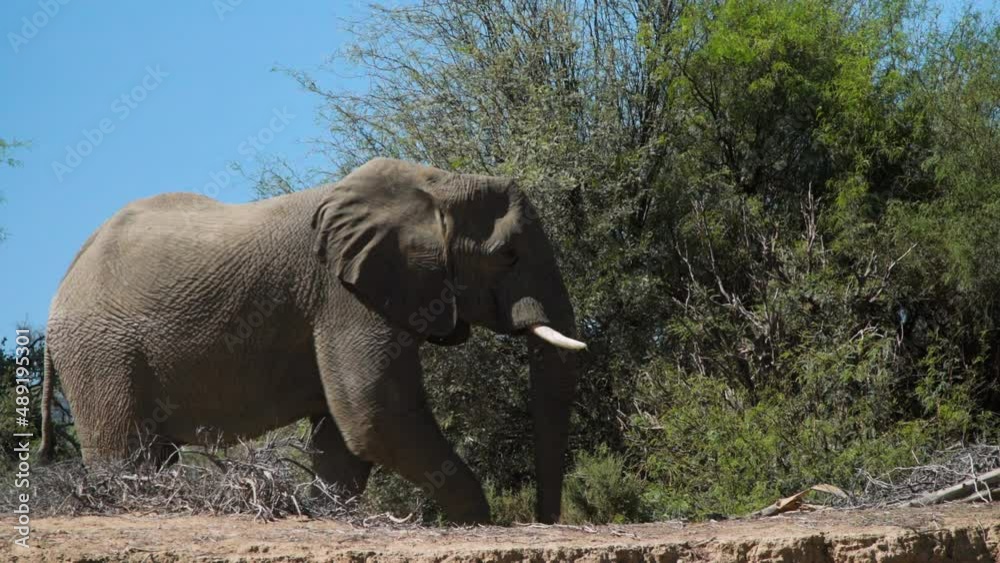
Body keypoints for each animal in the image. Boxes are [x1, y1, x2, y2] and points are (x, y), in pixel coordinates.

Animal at [38, 158, 585, 524]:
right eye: (508, 255)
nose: (542, 519)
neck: (434, 185)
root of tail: (65, 277)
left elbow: (344, 434)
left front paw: (330, 512)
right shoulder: (342, 294)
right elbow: (375, 414)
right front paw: (478, 521)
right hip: (101, 352)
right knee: (124, 450)